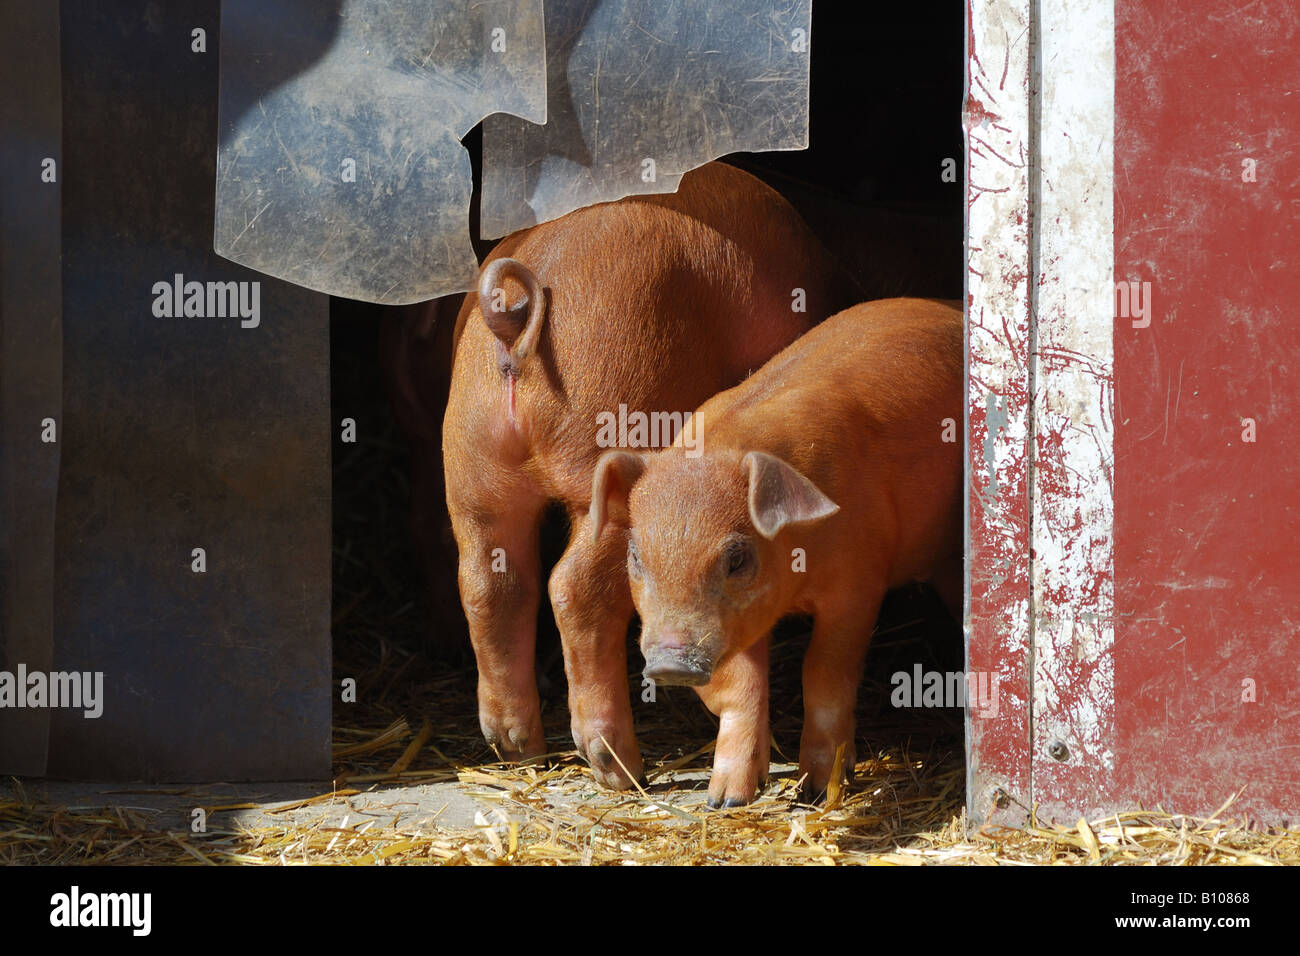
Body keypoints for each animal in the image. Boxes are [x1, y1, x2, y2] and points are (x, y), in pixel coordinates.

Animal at [442, 162, 858, 789]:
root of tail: (515, 326)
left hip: (470, 459)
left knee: (489, 580)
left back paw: (517, 749)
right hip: (619, 427)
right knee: (571, 587)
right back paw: (620, 769)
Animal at [590, 298, 963, 806]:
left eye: (737, 558)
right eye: (635, 558)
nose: (669, 661)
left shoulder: (859, 586)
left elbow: (823, 673)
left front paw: (814, 792)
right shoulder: (741, 621)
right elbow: (744, 685)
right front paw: (726, 799)